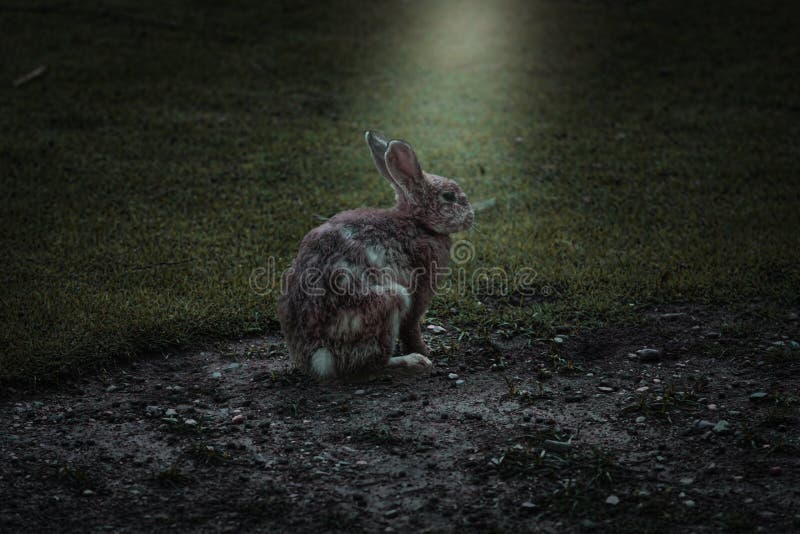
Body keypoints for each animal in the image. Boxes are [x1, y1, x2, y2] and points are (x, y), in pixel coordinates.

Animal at [277, 131, 474, 378]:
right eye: (449, 197)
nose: (471, 216)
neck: (419, 222)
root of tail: (318, 357)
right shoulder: (419, 292)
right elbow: (411, 327)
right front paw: (425, 351)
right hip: (390, 302)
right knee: (374, 362)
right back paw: (414, 362)